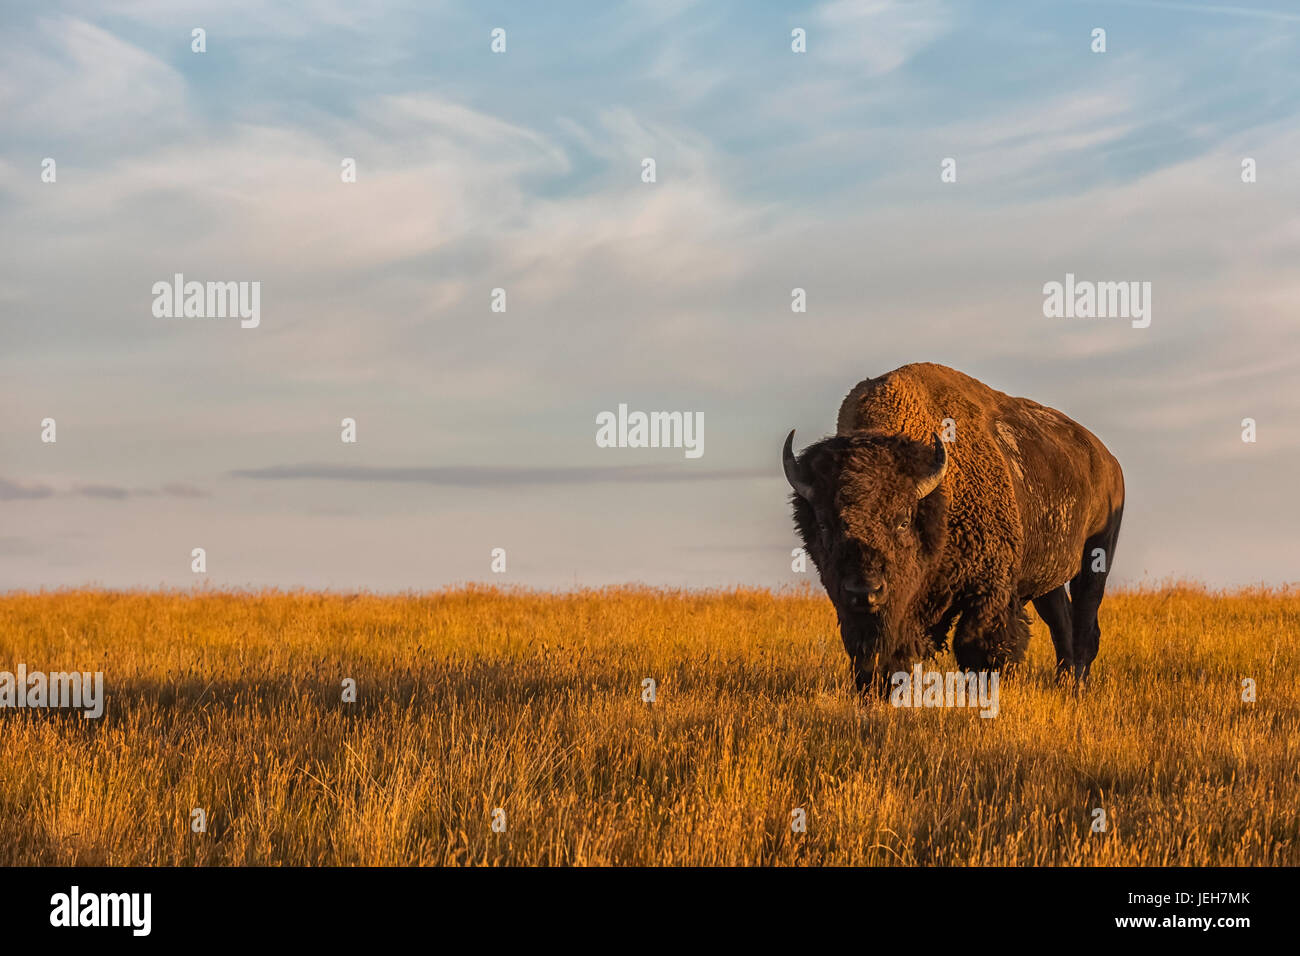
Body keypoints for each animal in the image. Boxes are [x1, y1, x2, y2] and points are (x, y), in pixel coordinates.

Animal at [784, 362, 1124, 692]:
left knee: (1085, 623)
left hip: (1097, 556)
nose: (865, 591)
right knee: (1061, 621)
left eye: (903, 521)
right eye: (824, 525)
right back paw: (1065, 682)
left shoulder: (988, 590)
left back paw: (1078, 686)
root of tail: (1108, 460)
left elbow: (977, 646)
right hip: (1046, 578)